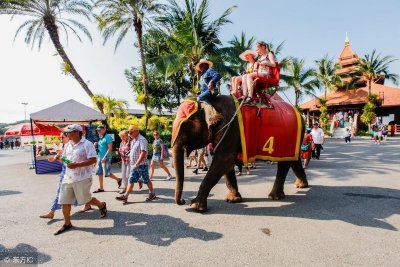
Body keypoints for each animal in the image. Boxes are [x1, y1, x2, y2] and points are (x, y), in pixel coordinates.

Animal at [173, 95, 310, 213]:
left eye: (185, 125)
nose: (183, 201)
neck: (210, 103)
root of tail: (299, 113)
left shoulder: (230, 128)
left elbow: (224, 161)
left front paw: (196, 206)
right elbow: (227, 165)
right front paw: (233, 200)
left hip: (287, 138)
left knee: (284, 163)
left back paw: (275, 196)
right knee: (294, 159)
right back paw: (301, 185)